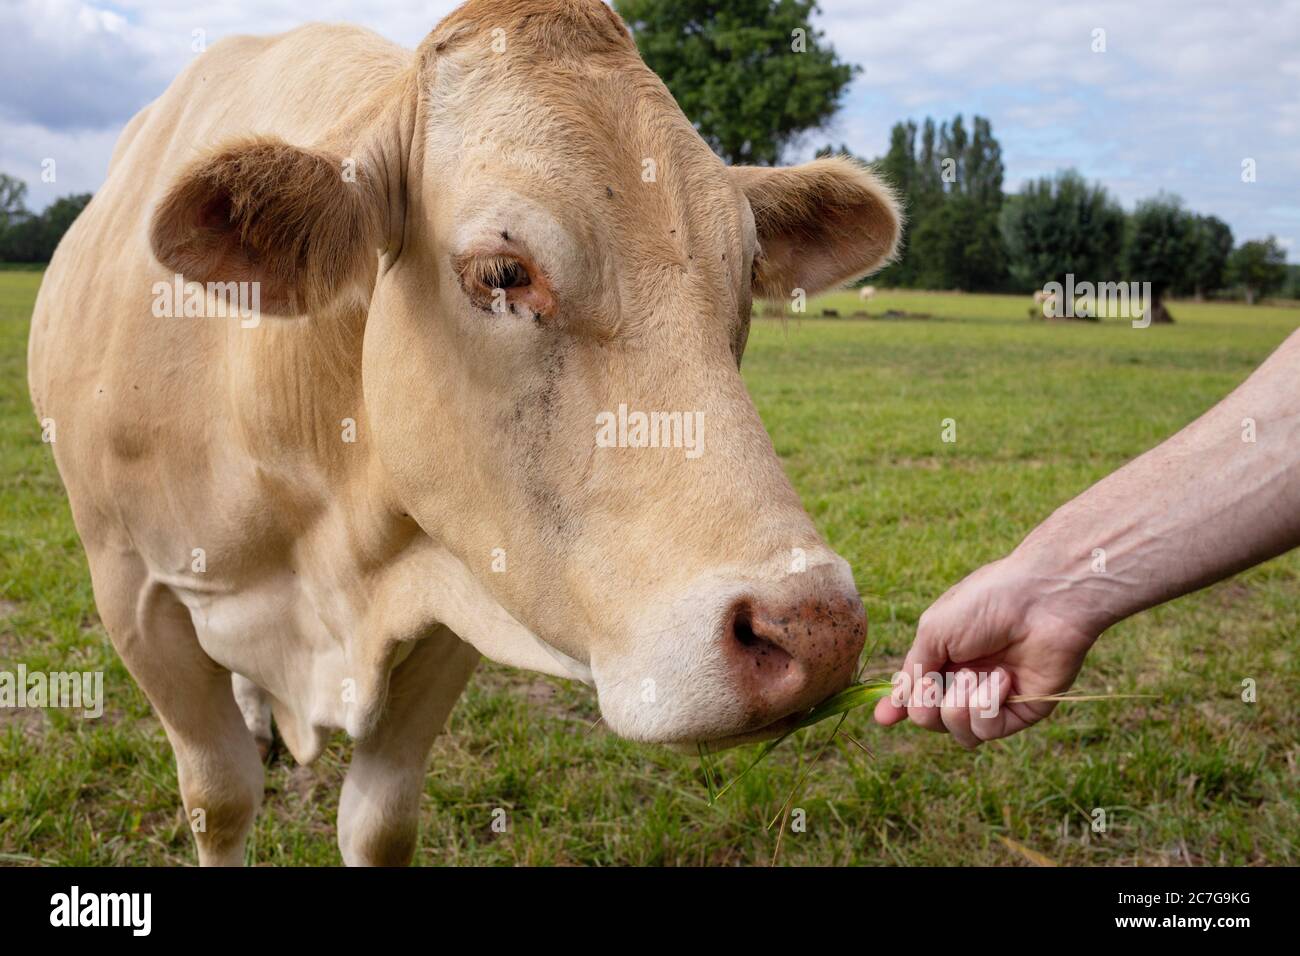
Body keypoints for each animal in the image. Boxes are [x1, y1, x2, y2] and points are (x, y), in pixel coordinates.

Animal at [27, 0, 900, 865]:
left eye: (744, 270)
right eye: (502, 275)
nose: (814, 629)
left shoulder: (464, 579)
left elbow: (378, 822)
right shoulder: (130, 587)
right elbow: (221, 799)